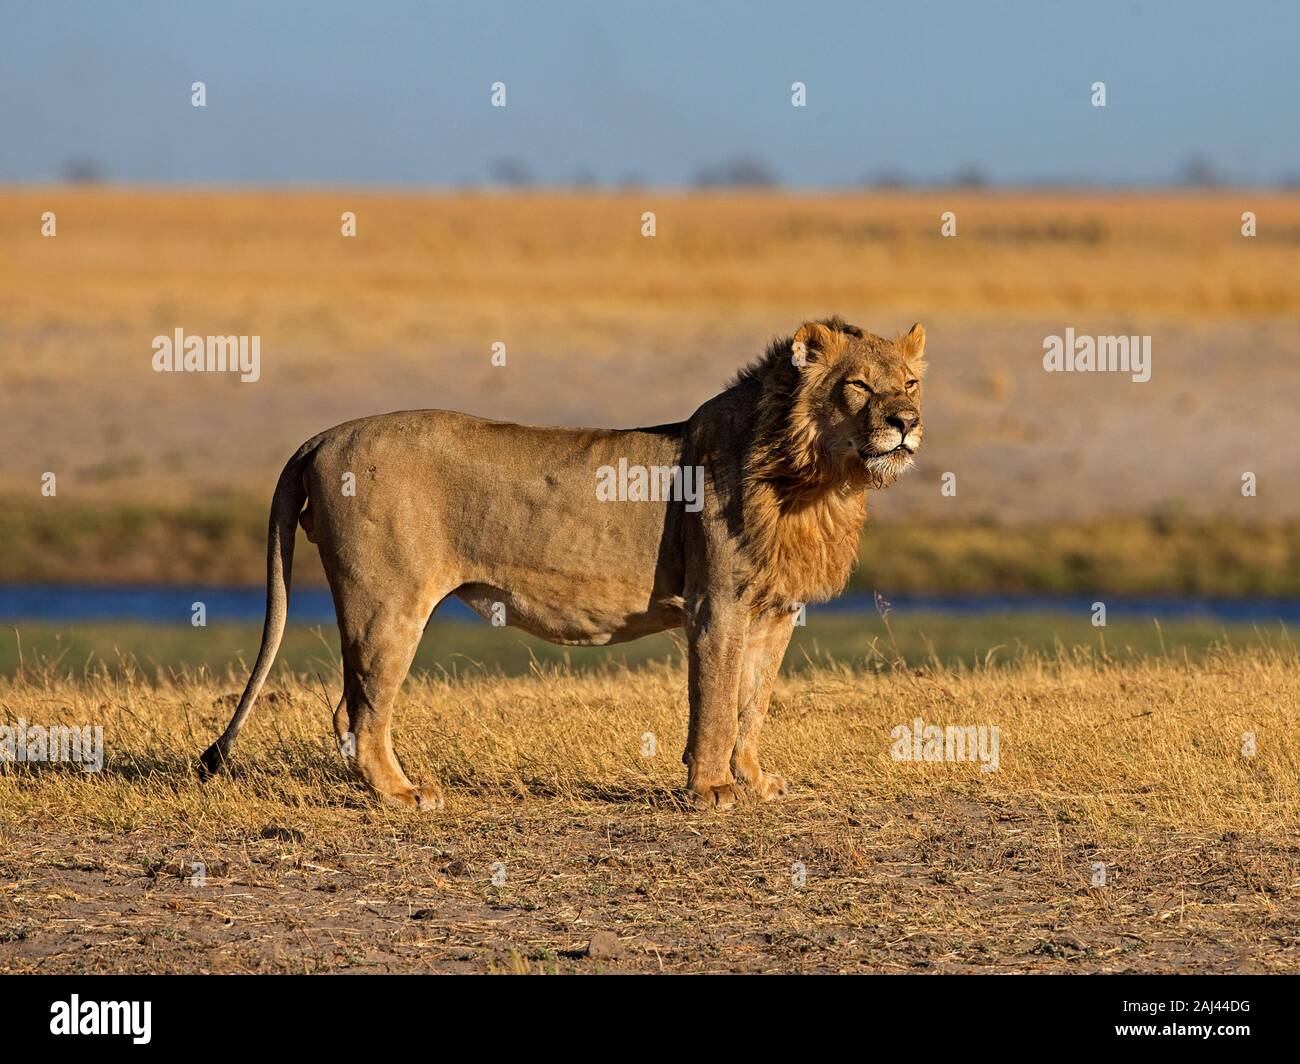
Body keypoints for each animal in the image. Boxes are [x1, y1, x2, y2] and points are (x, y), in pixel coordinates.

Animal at [200, 317, 927, 809]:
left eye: (911, 383)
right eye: (860, 385)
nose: (907, 422)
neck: (815, 479)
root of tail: (320, 437)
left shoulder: (773, 611)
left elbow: (753, 702)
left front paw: (753, 779)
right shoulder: (715, 603)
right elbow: (717, 700)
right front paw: (711, 788)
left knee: (349, 710)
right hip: (386, 606)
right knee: (361, 711)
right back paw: (404, 795)